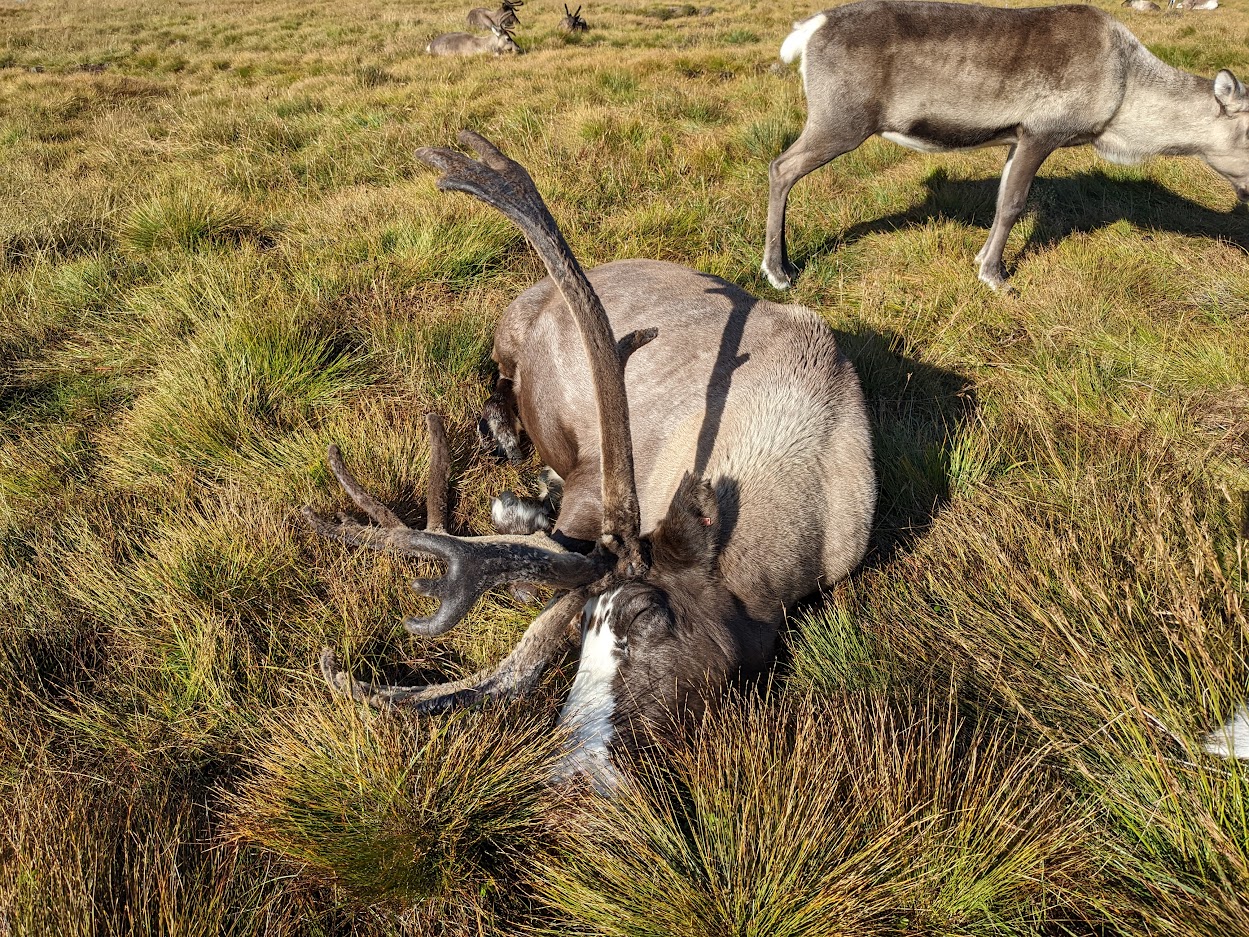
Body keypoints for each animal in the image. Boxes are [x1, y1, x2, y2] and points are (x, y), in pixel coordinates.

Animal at [304, 132, 876, 791]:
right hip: (510, 332)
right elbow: (535, 578)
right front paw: (521, 511)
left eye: (645, 612)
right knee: (500, 384)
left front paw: (525, 510)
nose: (568, 769)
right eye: (584, 628)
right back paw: (507, 445)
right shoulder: (595, 481)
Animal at [763, 0, 1249, 292]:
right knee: (781, 168)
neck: (1125, 92)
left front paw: (982, 259)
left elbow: (1000, 202)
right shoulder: (1042, 133)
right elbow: (1015, 205)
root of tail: (812, 27)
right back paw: (778, 271)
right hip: (841, 123)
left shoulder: (1017, 138)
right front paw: (995, 276)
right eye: (1248, 131)